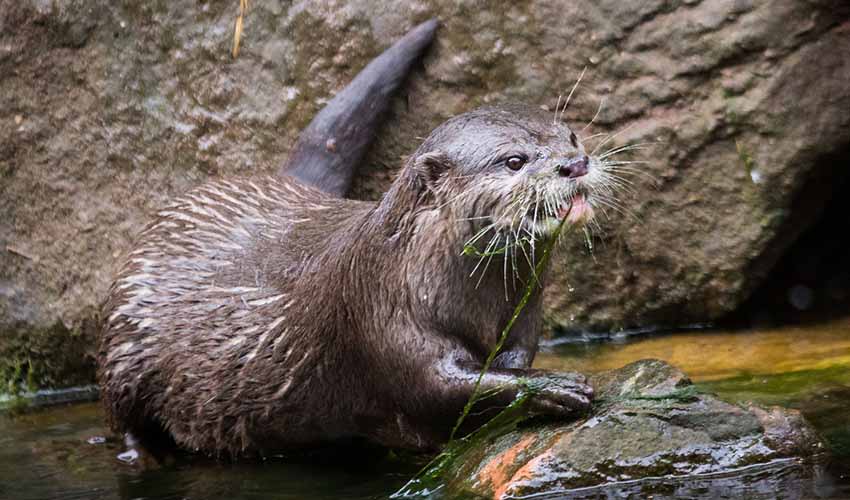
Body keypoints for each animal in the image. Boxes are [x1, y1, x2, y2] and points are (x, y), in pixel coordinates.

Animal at [98, 22, 615, 457]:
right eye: (513, 161)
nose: (575, 164)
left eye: (572, 136)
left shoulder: (522, 318)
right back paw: (144, 454)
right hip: (124, 338)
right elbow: (440, 385)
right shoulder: (380, 319)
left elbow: (513, 357)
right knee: (120, 411)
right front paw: (555, 386)